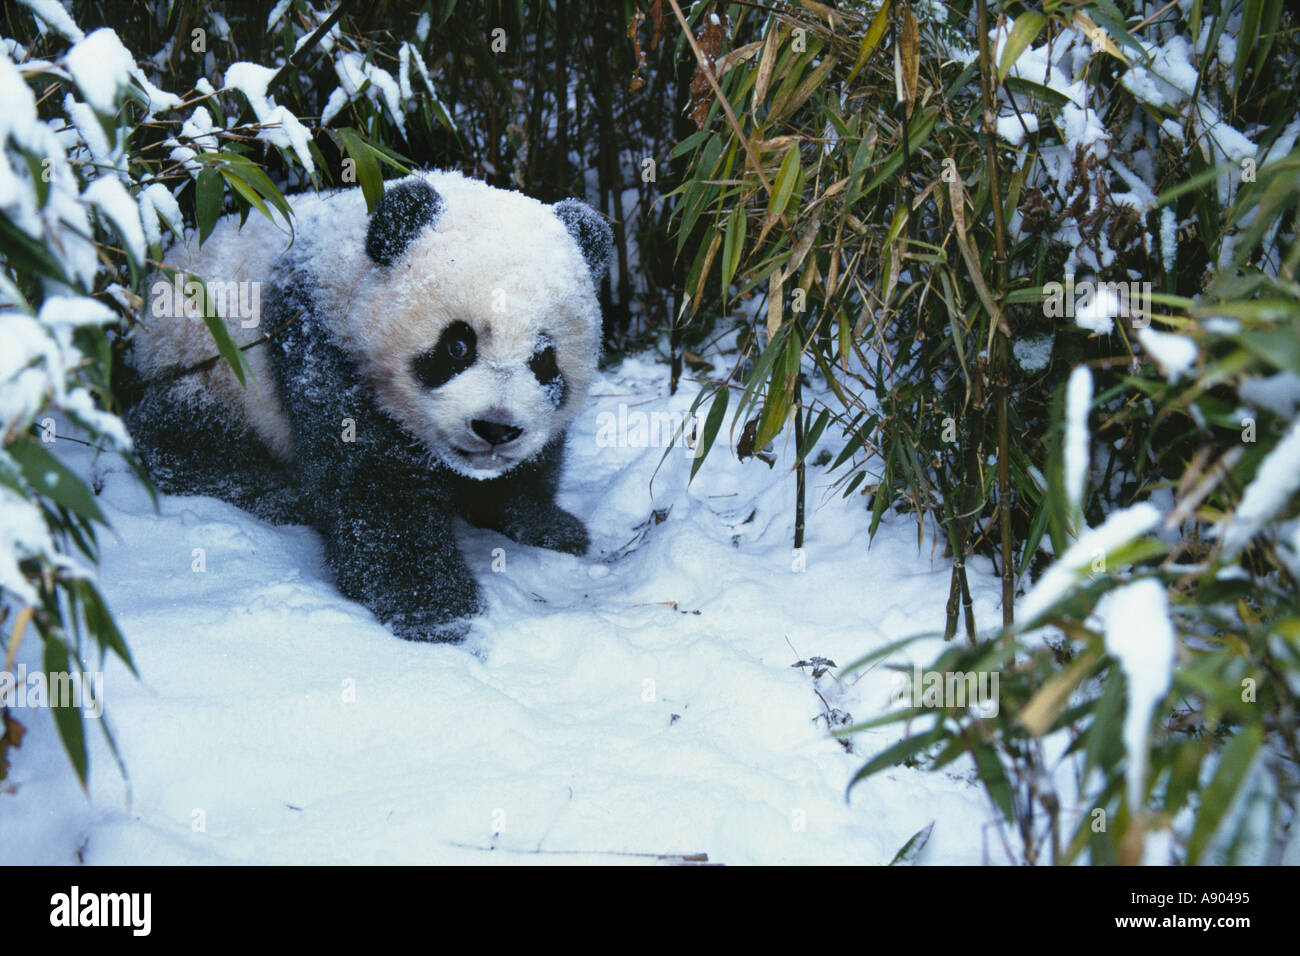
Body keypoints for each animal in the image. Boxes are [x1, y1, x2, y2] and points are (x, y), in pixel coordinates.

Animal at [126, 171, 611, 641]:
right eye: (458, 345)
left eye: (544, 359)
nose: (494, 428)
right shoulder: (320, 348)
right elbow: (374, 490)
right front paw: (437, 610)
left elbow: (530, 470)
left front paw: (548, 526)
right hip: (207, 361)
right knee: (184, 436)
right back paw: (273, 493)